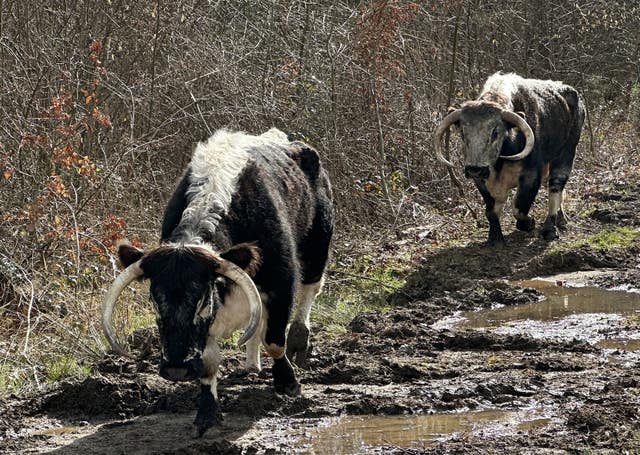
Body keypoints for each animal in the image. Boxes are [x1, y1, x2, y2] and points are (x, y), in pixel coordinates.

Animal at [102, 128, 334, 436]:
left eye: (201, 297)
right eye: (154, 299)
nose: (175, 369)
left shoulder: (282, 282)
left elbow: (274, 340)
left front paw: (288, 383)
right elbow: (209, 363)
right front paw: (208, 413)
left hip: (318, 242)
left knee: (310, 290)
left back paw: (299, 338)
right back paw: (251, 365)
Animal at [434, 72, 585, 245]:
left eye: (495, 133)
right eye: (463, 133)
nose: (474, 170)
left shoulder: (531, 176)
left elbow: (519, 208)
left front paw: (530, 223)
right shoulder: (482, 182)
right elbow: (491, 211)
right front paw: (495, 238)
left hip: (566, 154)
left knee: (556, 186)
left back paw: (550, 229)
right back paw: (561, 218)